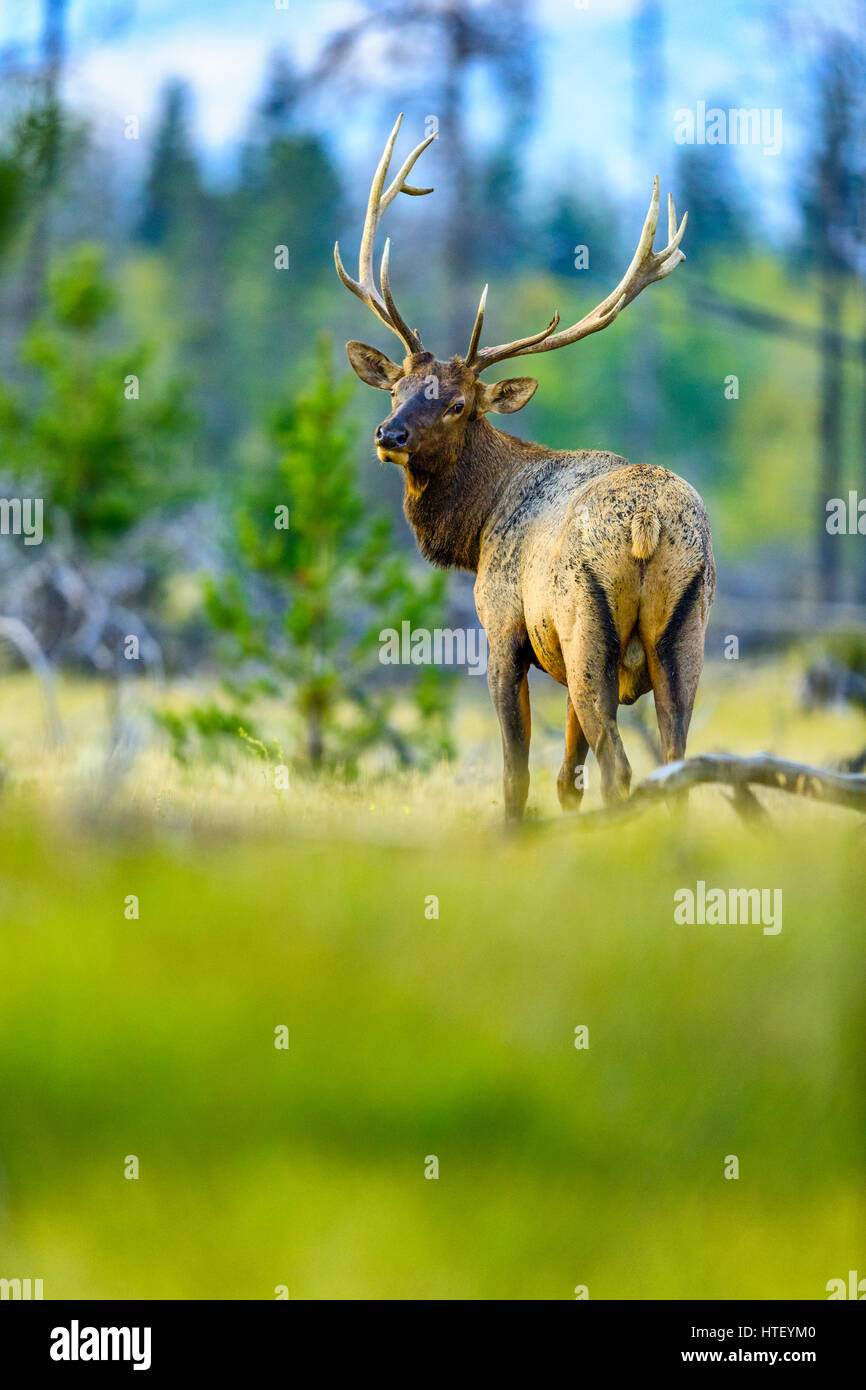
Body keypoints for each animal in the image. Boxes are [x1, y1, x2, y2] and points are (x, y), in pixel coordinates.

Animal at [335, 116, 715, 822]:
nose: (388, 434)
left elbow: (517, 771)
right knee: (676, 762)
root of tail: (646, 524)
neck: (478, 530)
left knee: (621, 767)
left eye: (457, 403)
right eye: (396, 387)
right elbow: (567, 777)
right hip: (685, 634)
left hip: (587, 626)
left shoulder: (506, 631)